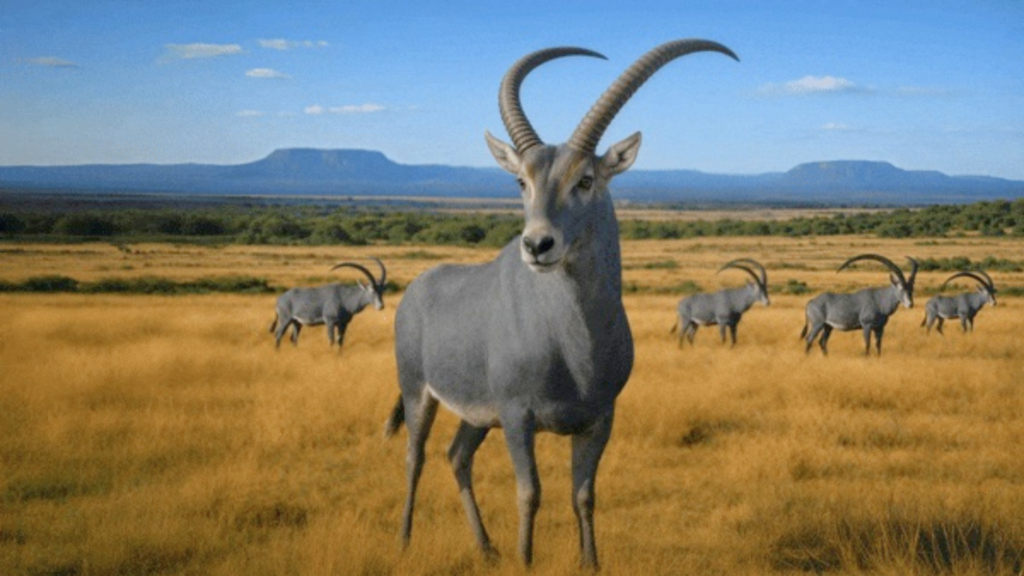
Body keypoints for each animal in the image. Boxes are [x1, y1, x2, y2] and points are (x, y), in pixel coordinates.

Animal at [385, 39, 738, 567]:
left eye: (586, 179)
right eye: (521, 181)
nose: (537, 245)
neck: (573, 343)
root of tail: (417, 290)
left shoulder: (599, 420)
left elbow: (584, 495)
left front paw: (590, 562)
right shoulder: (518, 417)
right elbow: (530, 492)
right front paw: (525, 561)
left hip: (476, 416)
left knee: (457, 456)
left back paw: (486, 548)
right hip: (418, 392)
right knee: (416, 457)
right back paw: (406, 541)